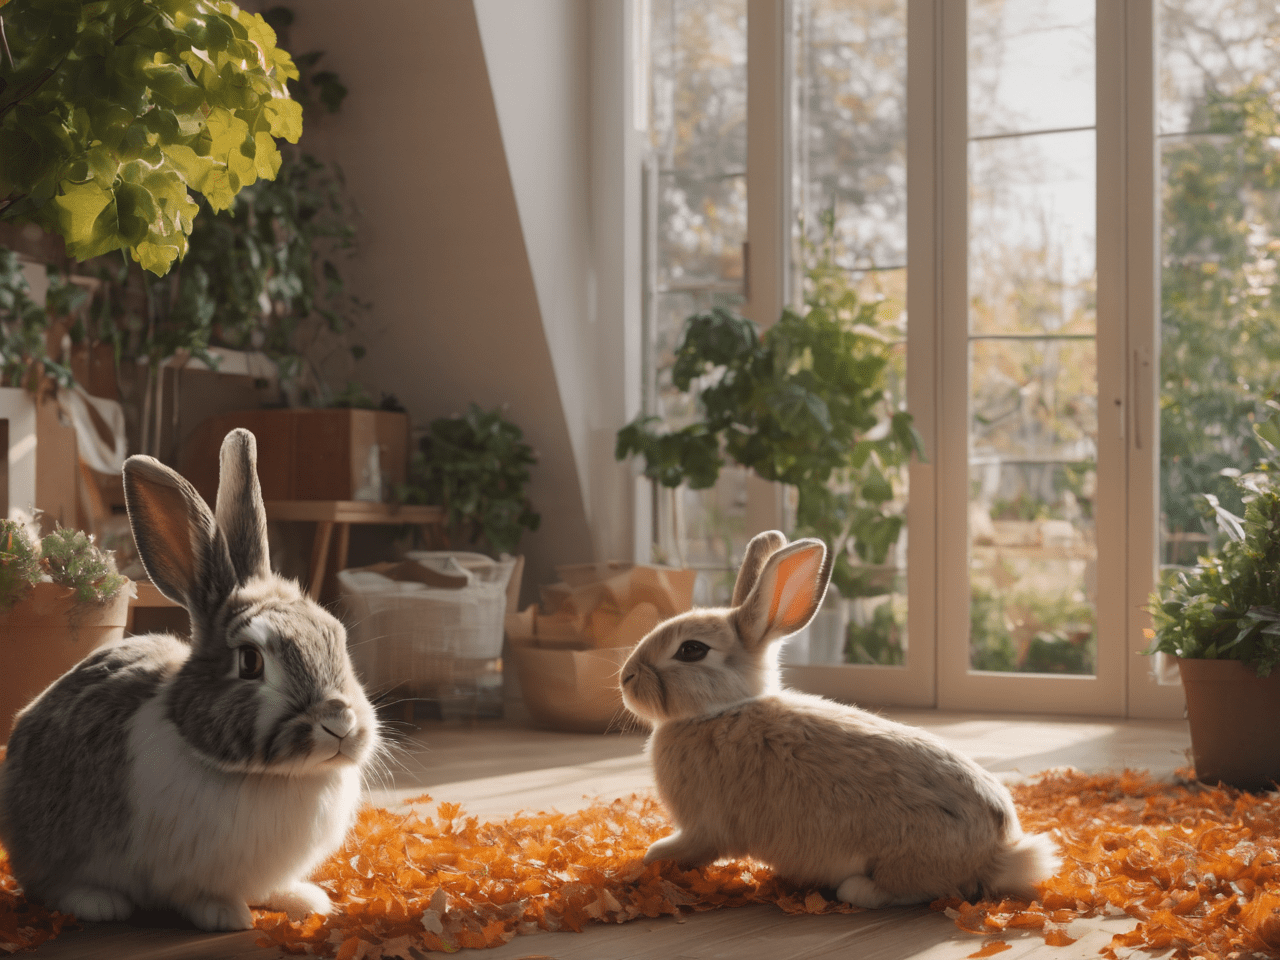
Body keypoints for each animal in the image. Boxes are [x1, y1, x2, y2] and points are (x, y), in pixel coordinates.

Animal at [0, 429, 381, 931]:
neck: (271, 778)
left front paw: (304, 901)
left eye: (337, 637)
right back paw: (98, 902)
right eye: (250, 661)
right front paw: (227, 916)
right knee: (45, 884)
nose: (339, 722)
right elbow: (198, 895)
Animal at [619, 530, 1060, 908]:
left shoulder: (705, 827)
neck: (722, 710)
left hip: (903, 861)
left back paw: (855, 889)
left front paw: (654, 855)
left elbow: (692, 847)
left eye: (691, 650)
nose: (626, 678)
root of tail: (1001, 852)